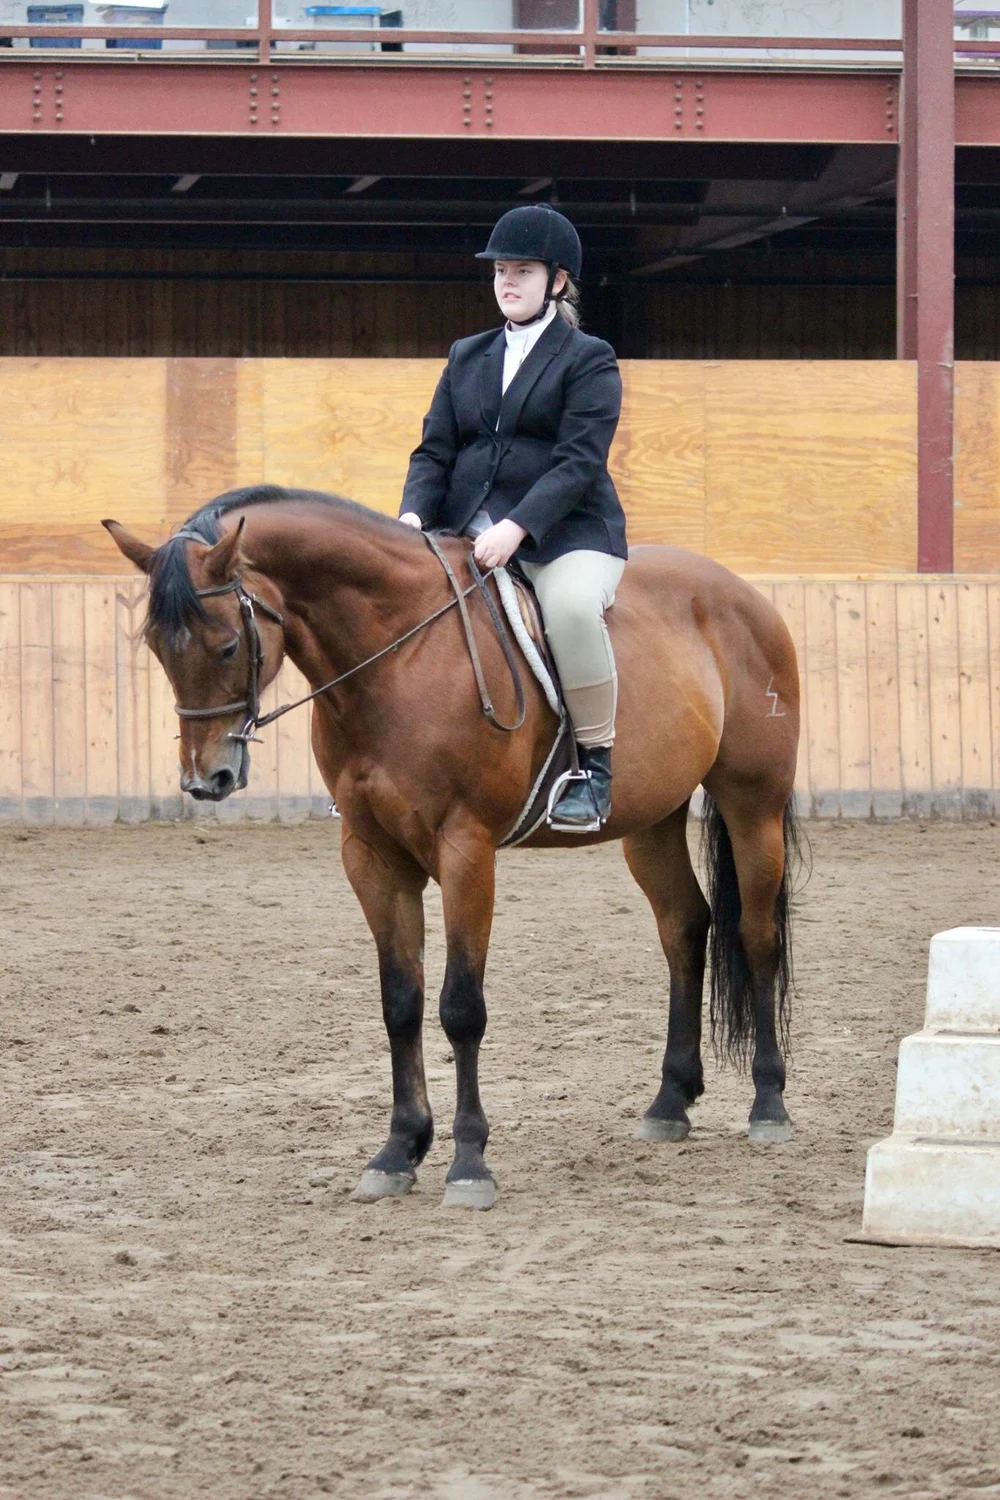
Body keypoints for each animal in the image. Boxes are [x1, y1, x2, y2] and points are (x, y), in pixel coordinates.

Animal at [104, 485, 801, 1210]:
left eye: (226, 645)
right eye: (155, 646)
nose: (204, 780)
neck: (396, 659)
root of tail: (743, 595)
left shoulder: (466, 848)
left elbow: (461, 1007)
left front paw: (469, 1162)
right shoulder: (372, 855)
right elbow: (401, 1003)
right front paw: (398, 1150)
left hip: (753, 804)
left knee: (756, 936)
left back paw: (768, 1105)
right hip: (652, 820)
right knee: (685, 928)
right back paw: (669, 1102)